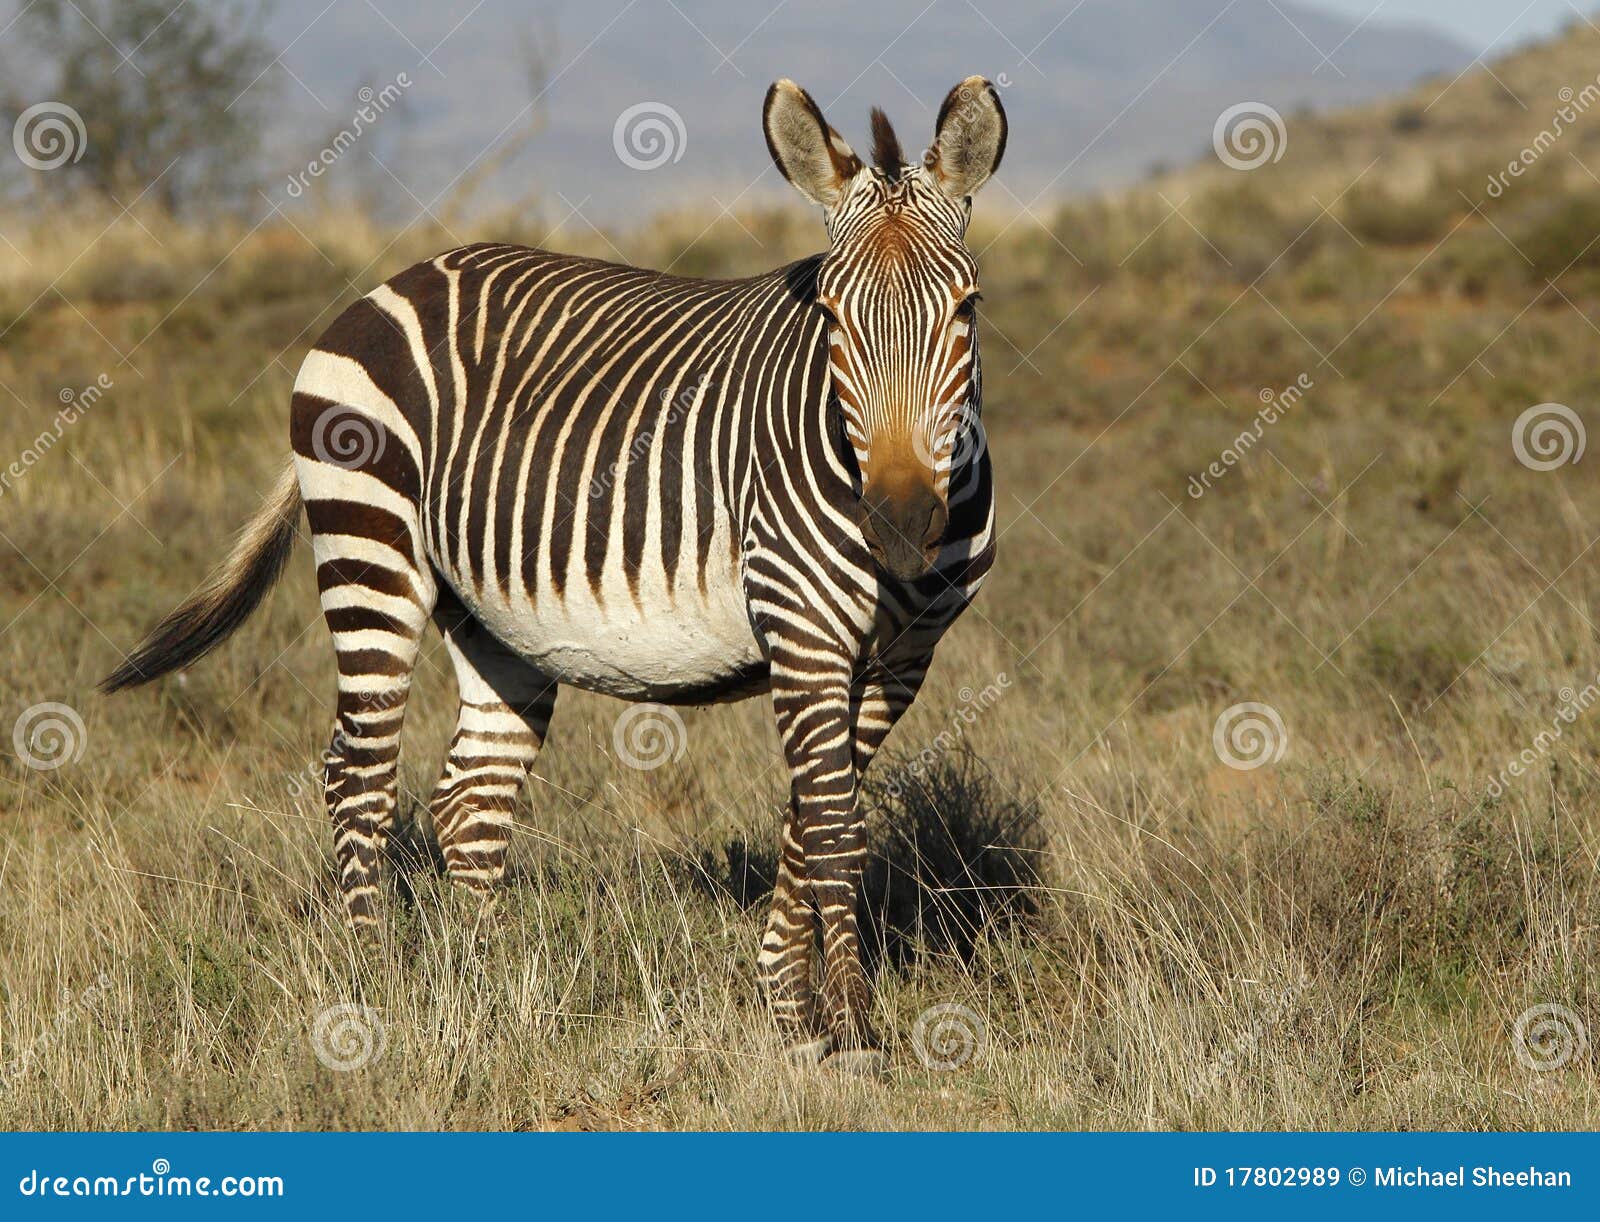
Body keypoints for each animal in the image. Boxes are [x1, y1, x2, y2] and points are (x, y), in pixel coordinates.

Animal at [103, 77, 1007, 1071]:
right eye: (833, 320)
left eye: (966, 310)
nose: (899, 527)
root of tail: (393, 283)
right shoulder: (804, 631)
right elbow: (835, 828)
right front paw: (844, 1031)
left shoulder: (901, 659)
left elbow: (813, 823)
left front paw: (790, 1010)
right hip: (371, 548)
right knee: (359, 772)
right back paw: (375, 981)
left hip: (496, 621)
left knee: (469, 799)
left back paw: (491, 988)